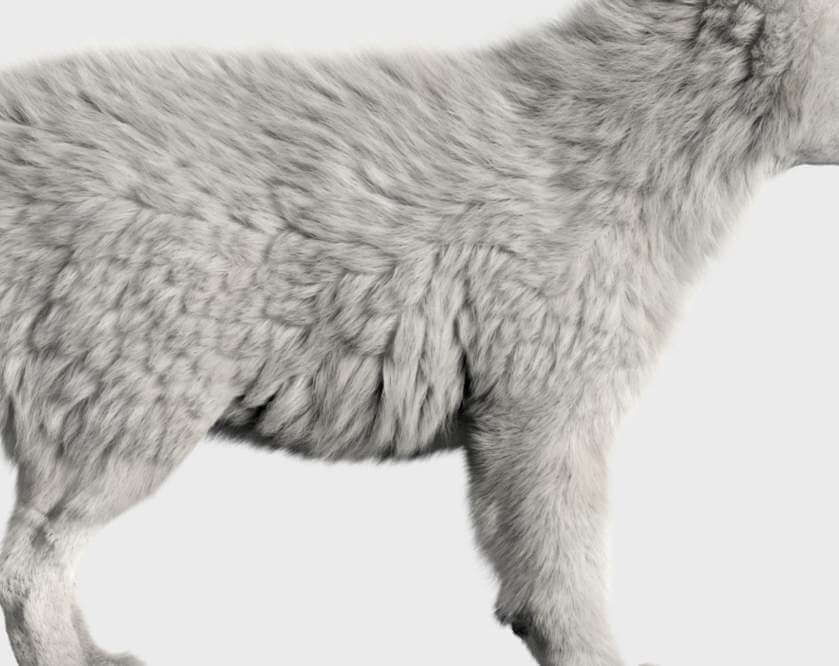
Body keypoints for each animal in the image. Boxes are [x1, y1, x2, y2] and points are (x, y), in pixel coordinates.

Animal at [0, 0, 834, 664]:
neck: (630, 140)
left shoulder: (509, 424)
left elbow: (523, 564)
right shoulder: (542, 409)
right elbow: (564, 576)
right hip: (124, 409)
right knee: (30, 565)